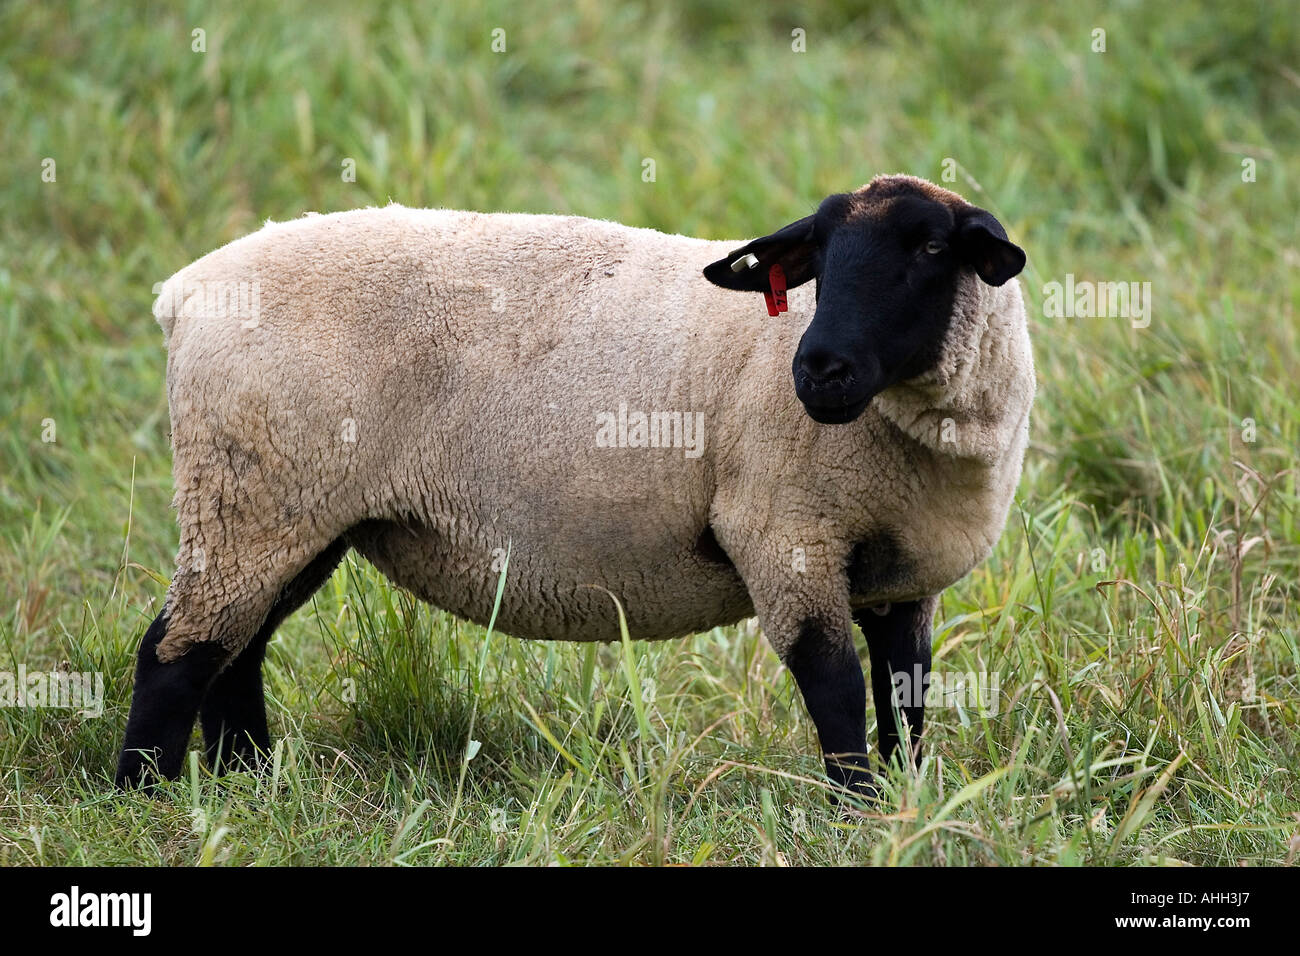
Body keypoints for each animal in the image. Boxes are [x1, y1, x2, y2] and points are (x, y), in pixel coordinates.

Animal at [116, 174, 1034, 799]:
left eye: (930, 250)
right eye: (819, 255)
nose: (818, 370)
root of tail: (187, 290)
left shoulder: (904, 576)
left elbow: (907, 694)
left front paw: (908, 802)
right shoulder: (784, 534)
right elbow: (835, 685)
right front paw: (857, 810)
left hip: (294, 509)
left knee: (235, 648)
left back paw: (247, 782)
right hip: (251, 492)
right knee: (174, 651)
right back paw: (143, 796)